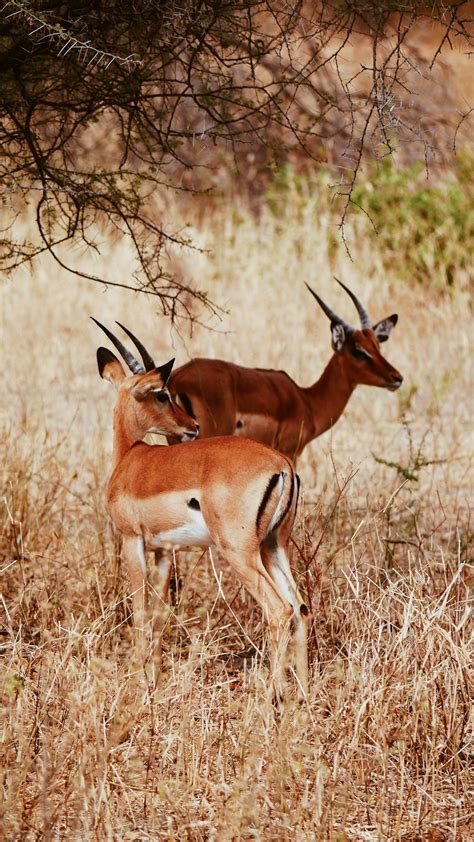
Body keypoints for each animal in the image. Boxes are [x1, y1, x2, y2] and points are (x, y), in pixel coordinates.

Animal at [93, 319, 309, 697]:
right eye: (161, 394)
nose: (192, 427)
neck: (131, 459)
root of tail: (281, 464)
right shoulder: (164, 551)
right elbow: (159, 611)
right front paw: (155, 677)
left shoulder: (132, 540)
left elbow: (139, 607)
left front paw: (136, 678)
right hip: (274, 546)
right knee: (300, 607)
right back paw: (305, 696)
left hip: (240, 552)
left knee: (279, 610)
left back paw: (270, 696)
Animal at [165, 280, 403, 463]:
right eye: (358, 351)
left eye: (377, 345)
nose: (397, 378)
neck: (307, 401)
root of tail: (177, 378)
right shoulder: (290, 452)